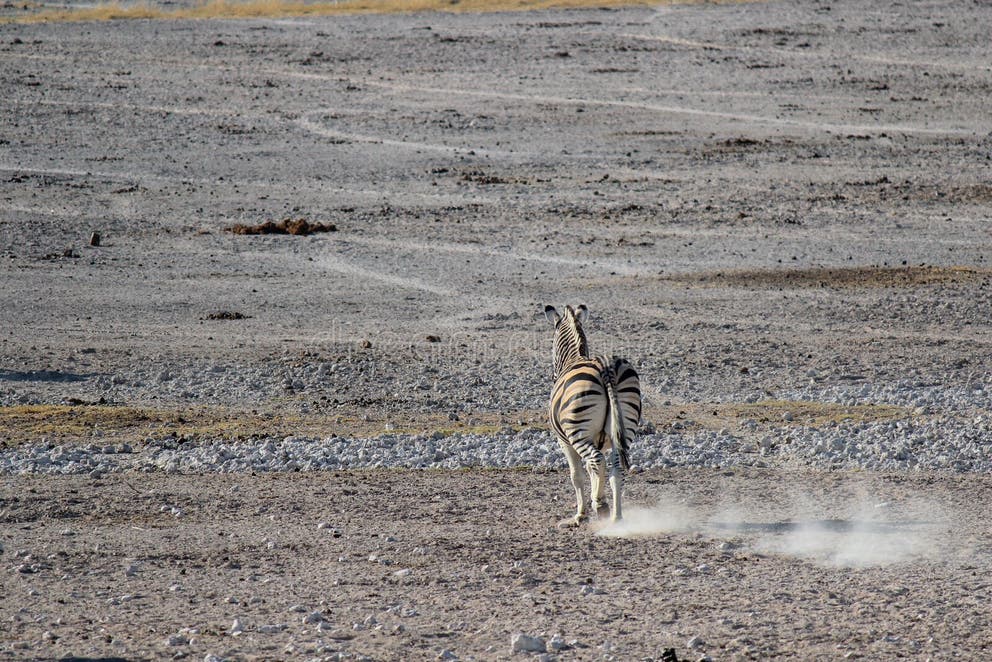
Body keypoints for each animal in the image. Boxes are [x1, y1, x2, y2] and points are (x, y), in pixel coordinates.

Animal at [544, 304, 642, 526]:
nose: (552, 376)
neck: (573, 357)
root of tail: (605, 365)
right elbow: (592, 471)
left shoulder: (564, 441)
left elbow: (577, 475)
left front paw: (581, 514)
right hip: (624, 429)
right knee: (615, 469)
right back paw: (616, 517)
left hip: (576, 432)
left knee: (598, 460)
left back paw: (601, 506)